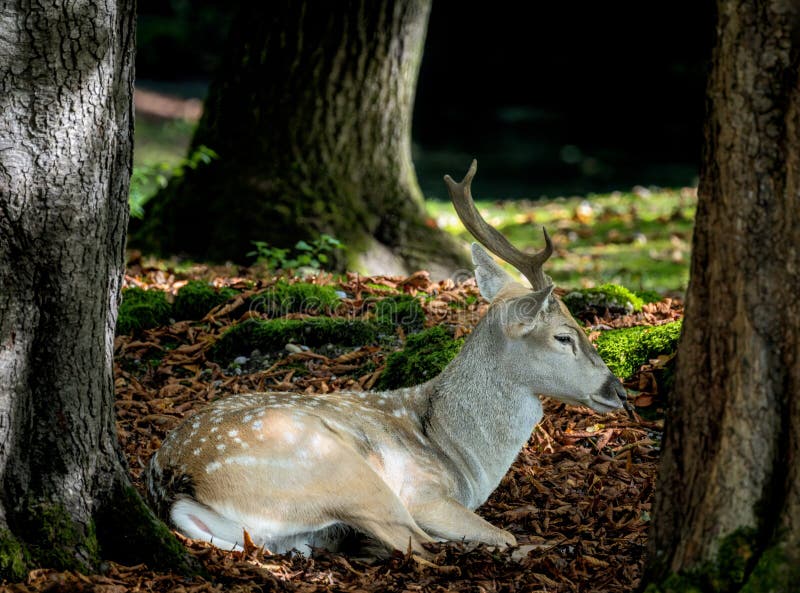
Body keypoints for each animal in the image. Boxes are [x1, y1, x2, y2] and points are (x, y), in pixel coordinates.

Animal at [145, 160, 626, 558]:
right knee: (417, 543)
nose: (618, 390)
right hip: (343, 470)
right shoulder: (425, 493)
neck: (460, 456)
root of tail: (178, 480)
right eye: (564, 336)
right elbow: (497, 534)